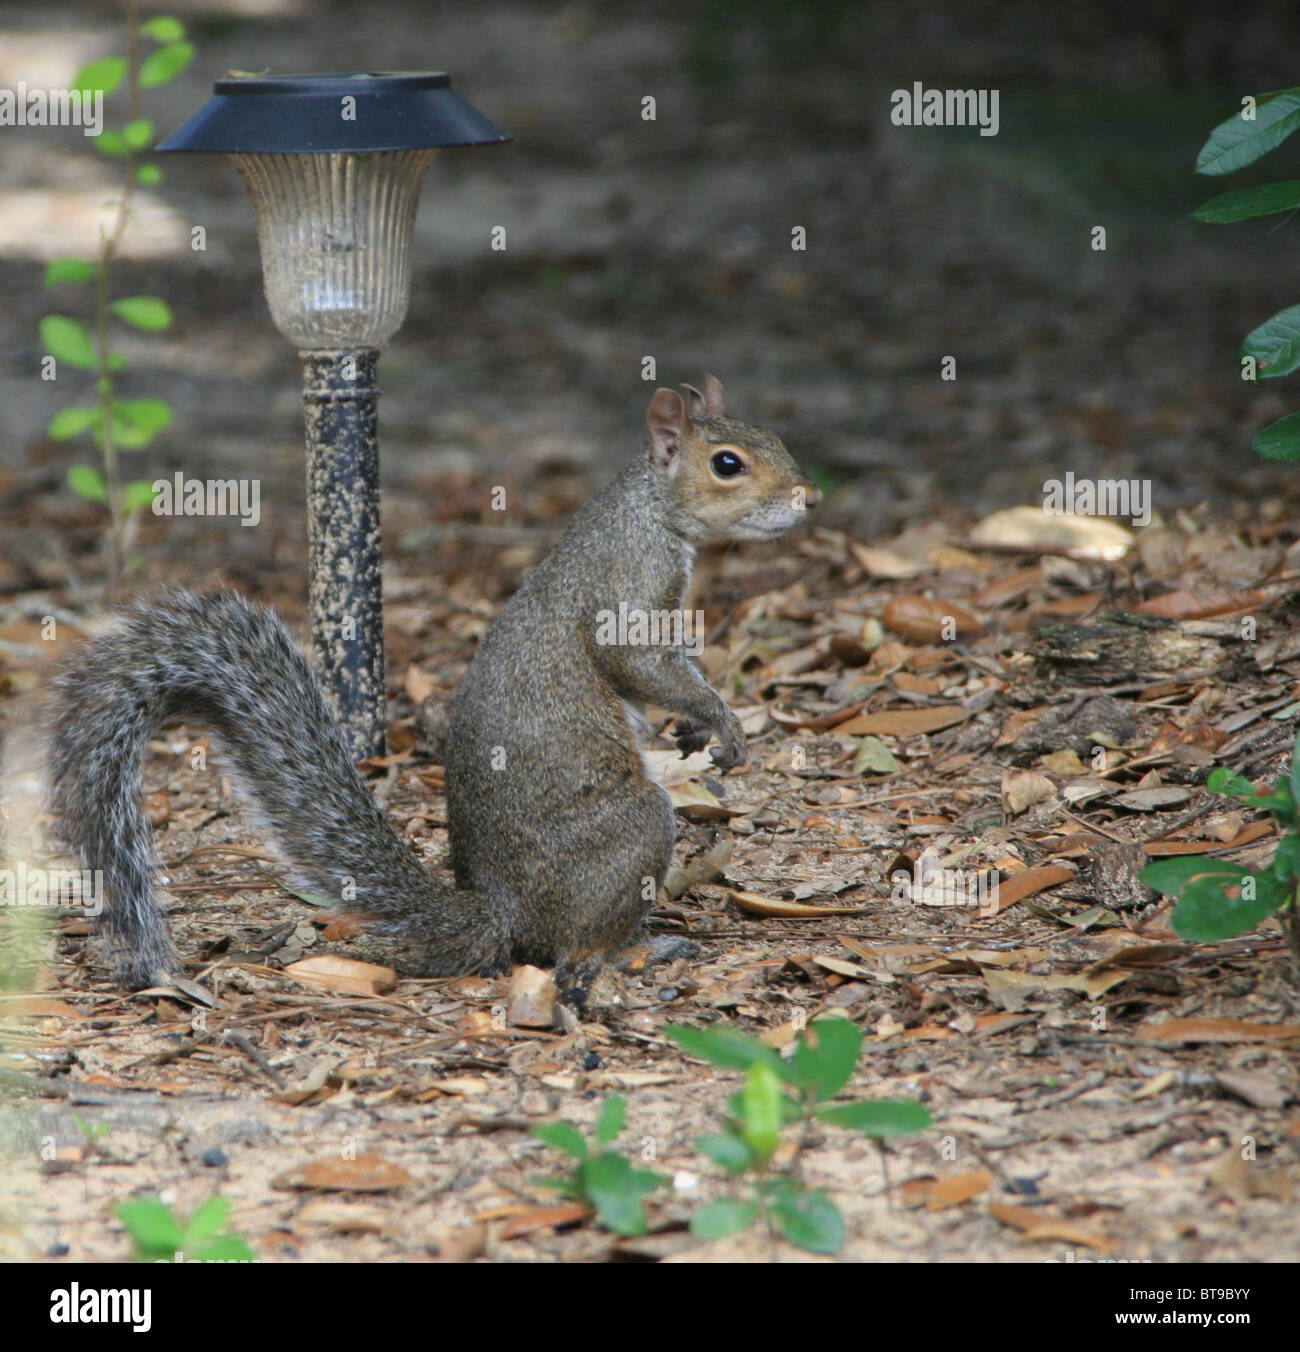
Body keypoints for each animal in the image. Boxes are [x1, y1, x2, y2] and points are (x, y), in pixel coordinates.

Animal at [47, 376, 819, 999]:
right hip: (632, 833)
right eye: (727, 464)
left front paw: (696, 731)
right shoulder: (626, 590)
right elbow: (638, 663)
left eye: (778, 438)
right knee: (573, 950)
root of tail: (502, 911)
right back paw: (641, 948)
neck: (650, 510)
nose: (807, 497)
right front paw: (722, 723)